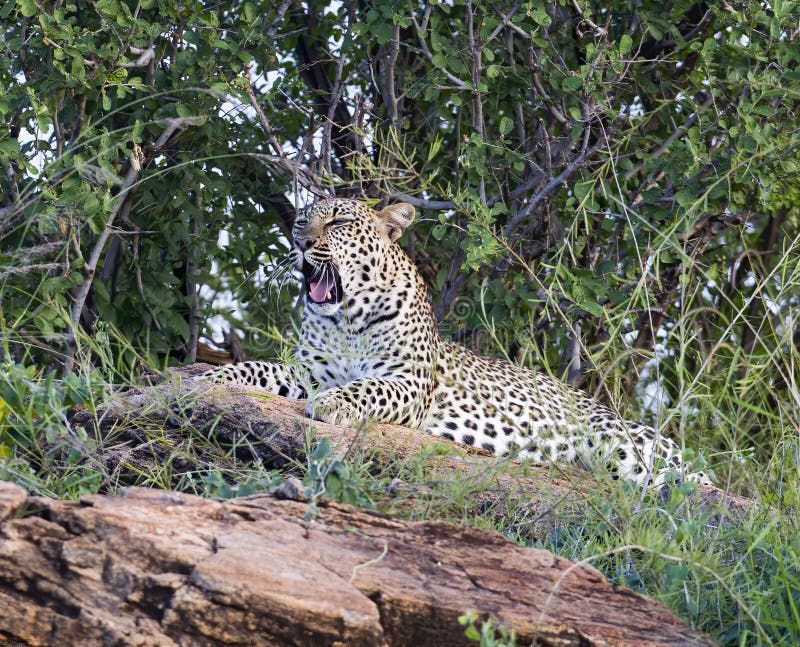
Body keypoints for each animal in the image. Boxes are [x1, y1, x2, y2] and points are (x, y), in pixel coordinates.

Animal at [203, 198, 712, 487]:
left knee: (692, 480)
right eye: (301, 221)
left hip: (621, 445)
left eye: (339, 222)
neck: (346, 317)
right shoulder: (308, 371)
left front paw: (333, 404)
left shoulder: (407, 382)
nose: (301, 242)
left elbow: (365, 388)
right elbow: (262, 368)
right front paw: (215, 375)